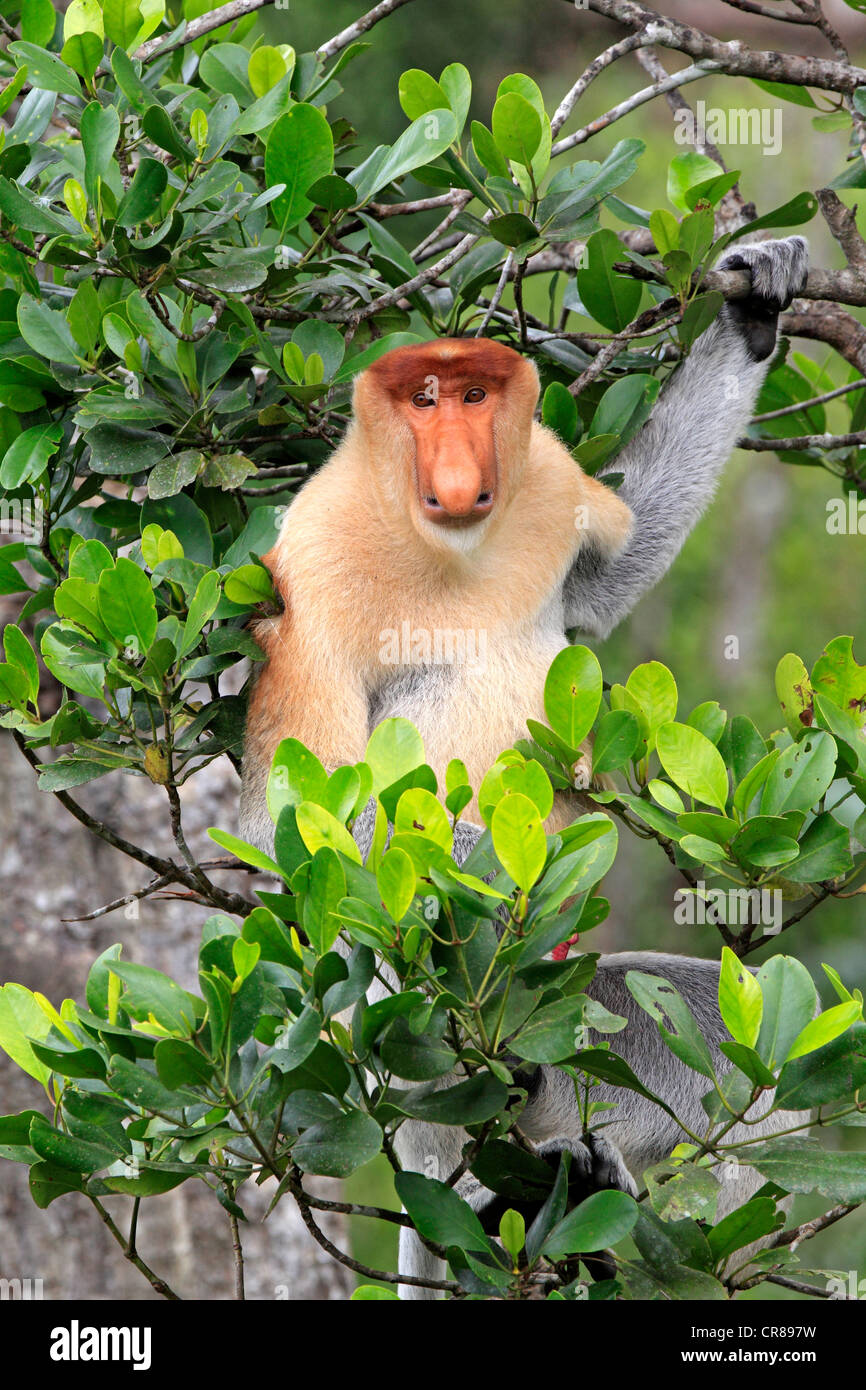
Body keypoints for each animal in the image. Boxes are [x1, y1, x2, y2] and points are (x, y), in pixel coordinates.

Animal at [239, 236, 811, 1296]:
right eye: (423, 400)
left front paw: (757, 307)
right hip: (395, 1019)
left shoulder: (545, 484)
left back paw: (578, 1166)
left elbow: (599, 584)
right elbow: (286, 825)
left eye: (477, 397)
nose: (461, 472)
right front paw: (482, 854)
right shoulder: (310, 565)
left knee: (734, 1043)